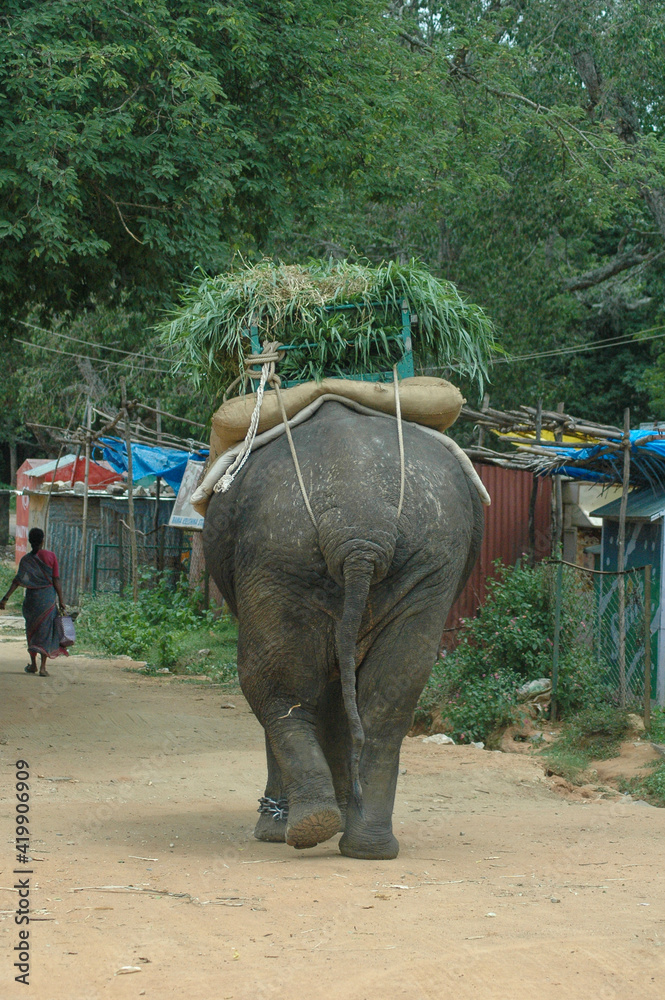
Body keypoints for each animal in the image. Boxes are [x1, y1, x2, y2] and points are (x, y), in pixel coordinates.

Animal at [203, 399, 484, 860]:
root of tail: (359, 534)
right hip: (427, 560)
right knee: (389, 697)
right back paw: (362, 842)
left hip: (277, 555)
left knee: (275, 690)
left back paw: (304, 826)